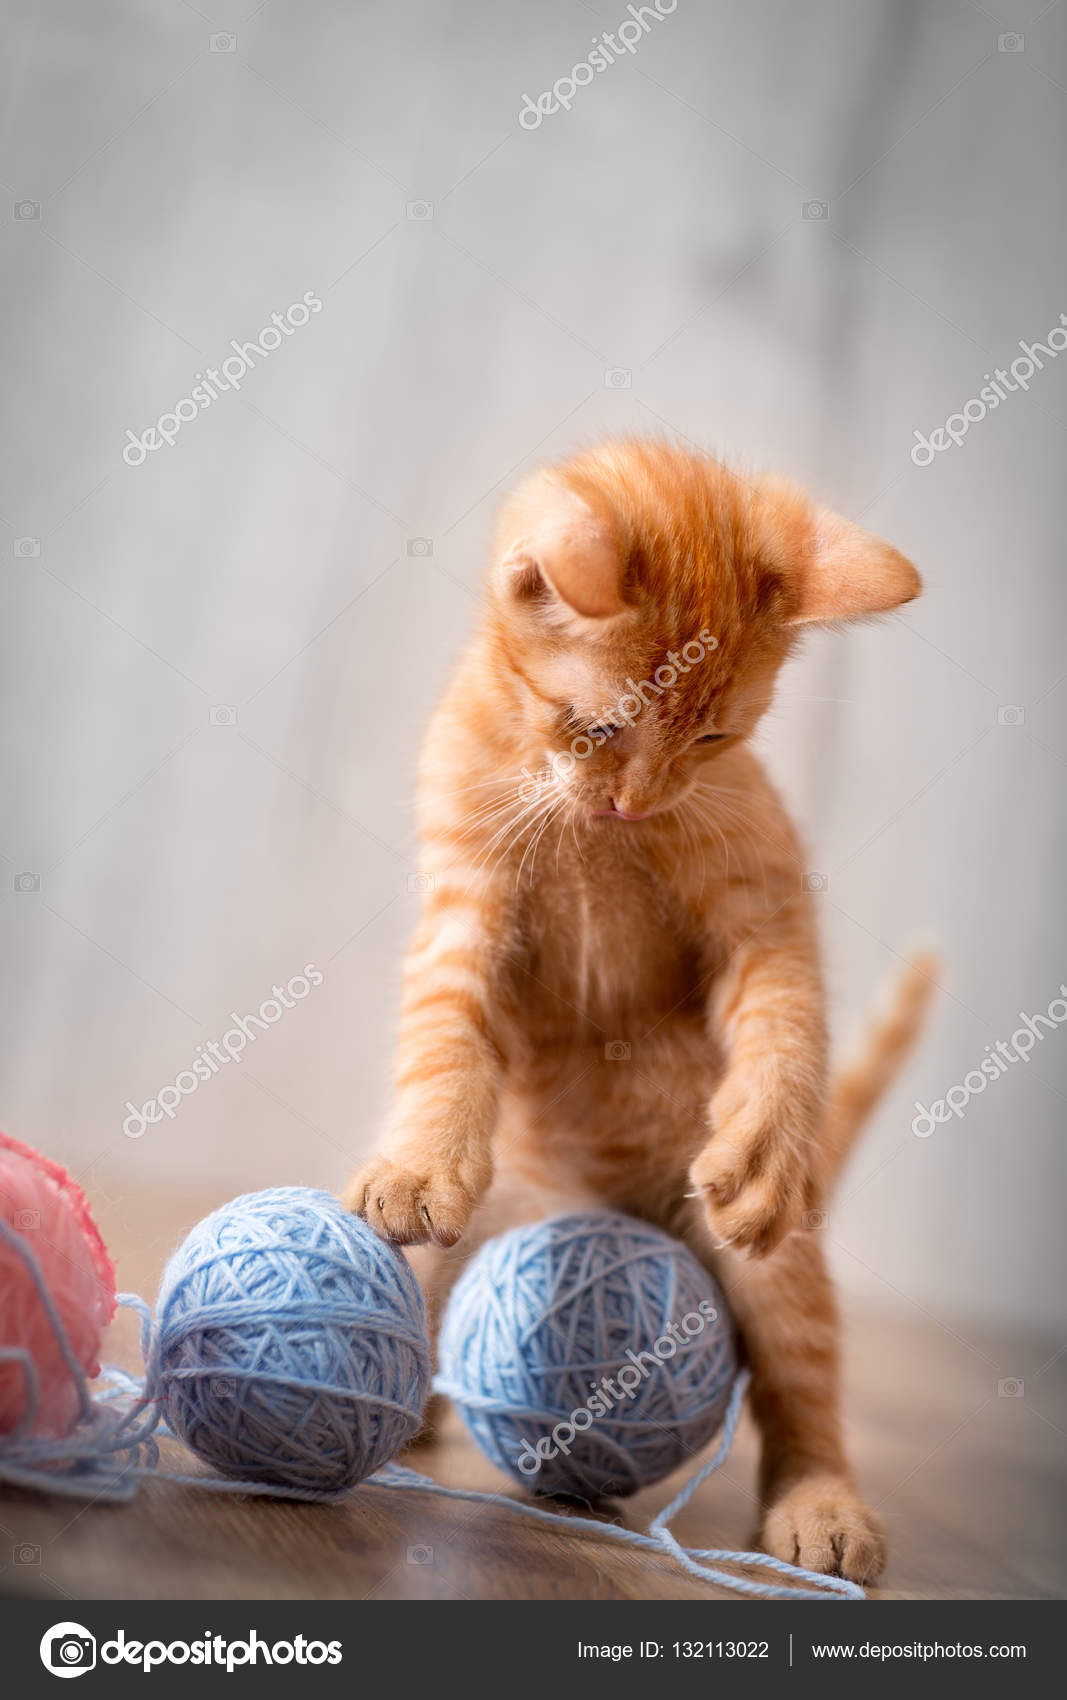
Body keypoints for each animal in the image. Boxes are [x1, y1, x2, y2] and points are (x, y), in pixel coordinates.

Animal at [344, 437, 935, 1583]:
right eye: (601, 725)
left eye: (711, 736)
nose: (633, 801)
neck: (592, 835)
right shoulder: (463, 900)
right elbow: (445, 1033)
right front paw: (423, 1157)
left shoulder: (765, 906)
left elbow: (789, 1017)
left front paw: (769, 1133)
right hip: (466, 1241)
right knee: (425, 1303)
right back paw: (409, 1412)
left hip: (767, 1273)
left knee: (803, 1392)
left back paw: (821, 1506)